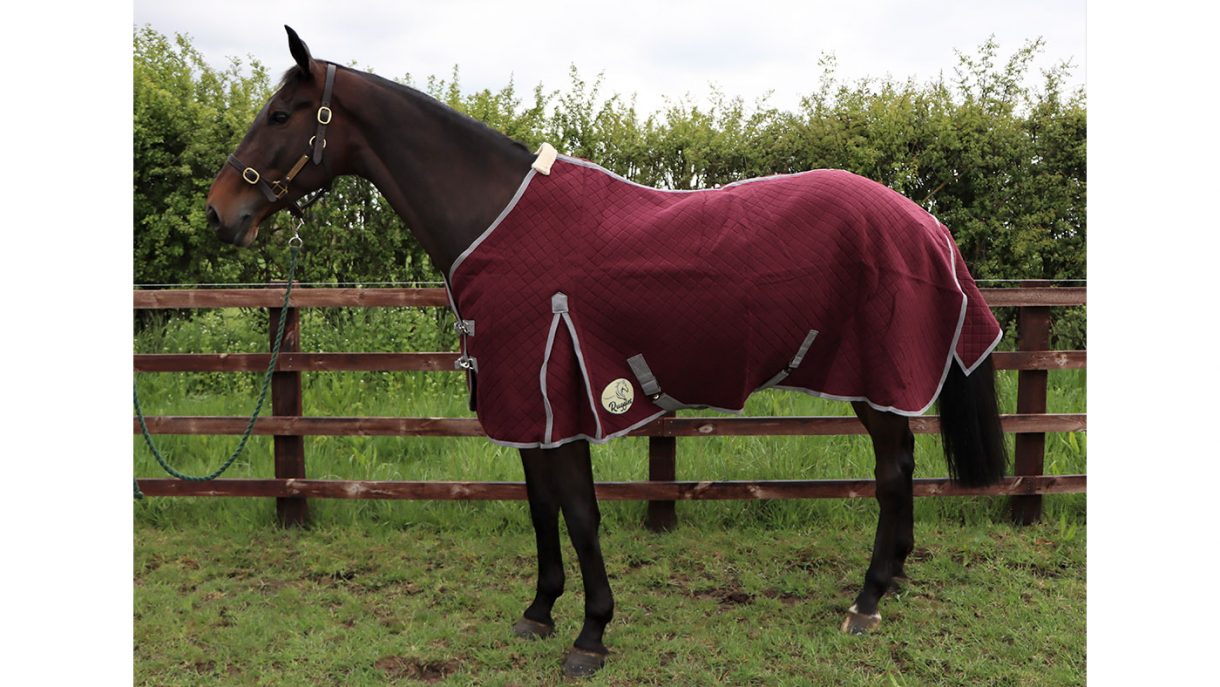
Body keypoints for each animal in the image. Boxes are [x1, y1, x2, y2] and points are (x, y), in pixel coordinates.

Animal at [205, 27, 1008, 678]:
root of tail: (923, 221)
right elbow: (541, 509)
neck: (494, 219)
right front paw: (539, 611)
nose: (219, 213)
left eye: (280, 116)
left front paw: (590, 635)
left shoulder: (558, 395)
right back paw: (892, 579)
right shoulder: (523, 404)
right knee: (901, 466)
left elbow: (582, 513)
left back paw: (867, 600)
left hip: (875, 376)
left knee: (892, 470)